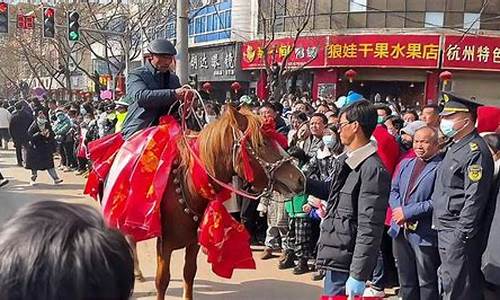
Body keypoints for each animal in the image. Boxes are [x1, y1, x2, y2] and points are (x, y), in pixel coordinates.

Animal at [132, 105, 304, 298]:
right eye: (261, 143)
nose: (300, 179)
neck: (188, 183)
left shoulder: (193, 242)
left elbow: (189, 274)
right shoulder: (164, 244)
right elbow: (162, 281)